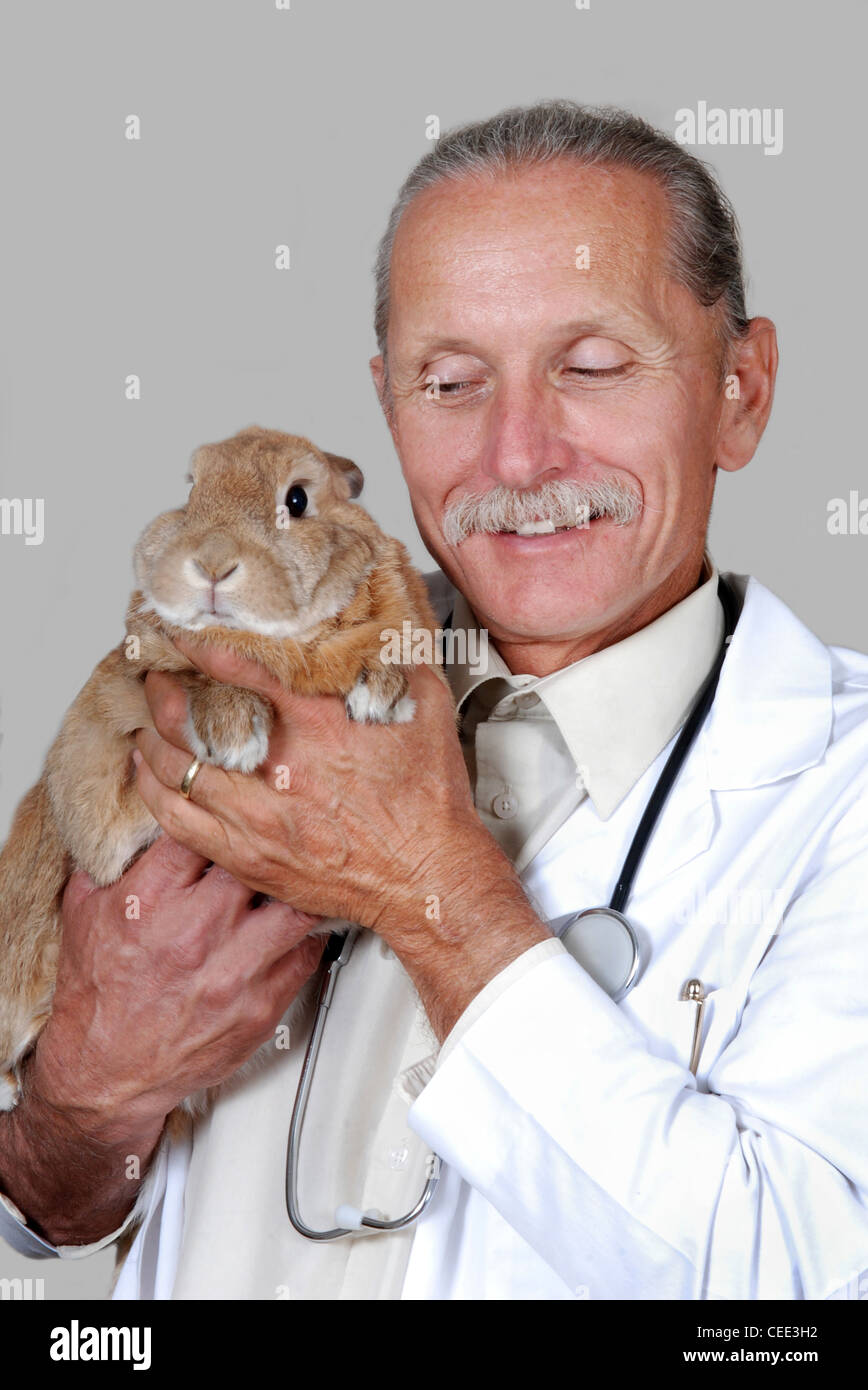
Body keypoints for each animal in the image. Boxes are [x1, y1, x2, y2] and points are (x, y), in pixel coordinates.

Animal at [0, 425, 453, 1121]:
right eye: (191, 489)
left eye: (297, 499)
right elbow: (189, 674)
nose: (211, 564)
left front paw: (381, 694)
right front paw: (236, 733)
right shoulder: (119, 706)